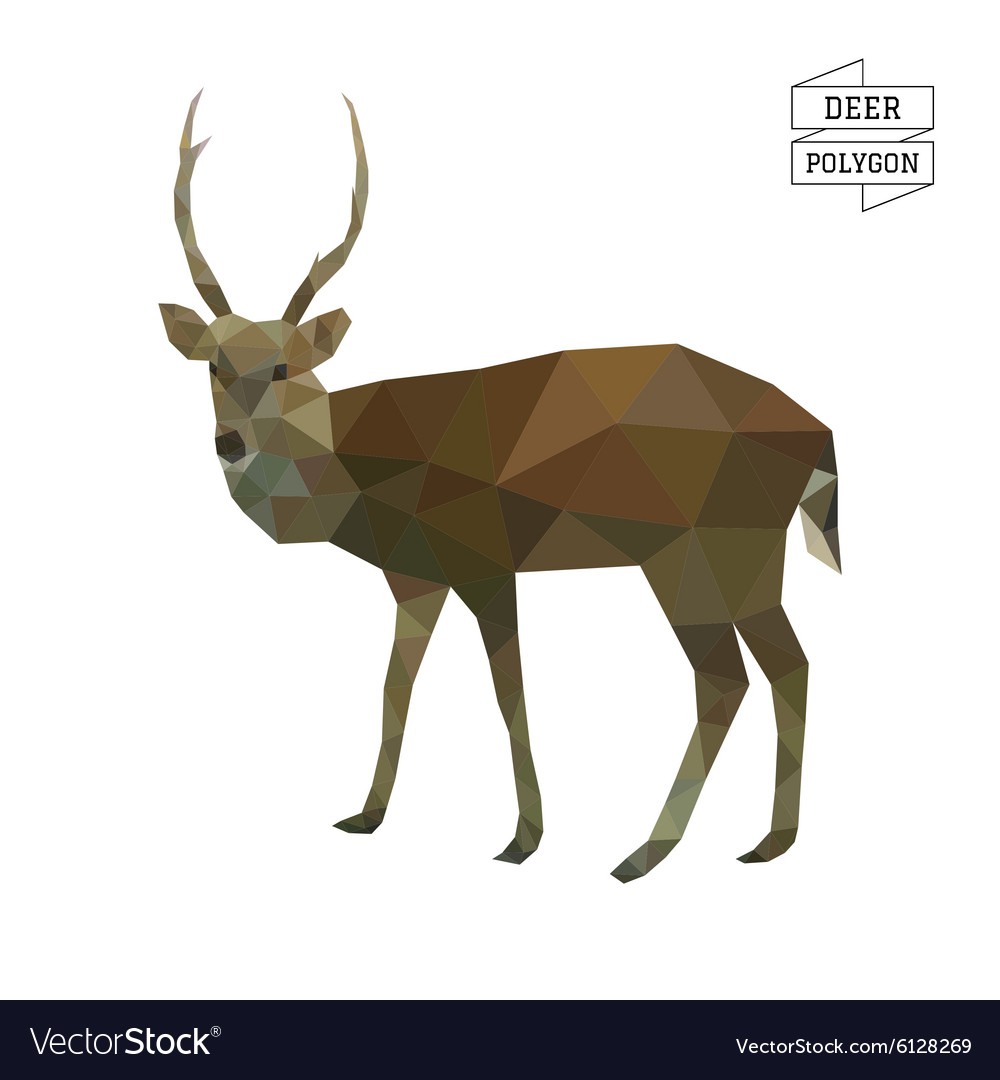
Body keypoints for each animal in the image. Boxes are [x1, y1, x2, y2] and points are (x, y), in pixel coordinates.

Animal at [160, 93, 840, 882]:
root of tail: (818, 431)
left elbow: (508, 687)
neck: (356, 477)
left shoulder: (486, 559)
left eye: (282, 367)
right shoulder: (415, 576)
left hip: (699, 550)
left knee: (725, 676)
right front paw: (366, 815)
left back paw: (644, 853)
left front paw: (524, 838)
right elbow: (395, 684)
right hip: (749, 558)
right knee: (789, 663)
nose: (229, 442)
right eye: (211, 363)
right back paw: (767, 842)